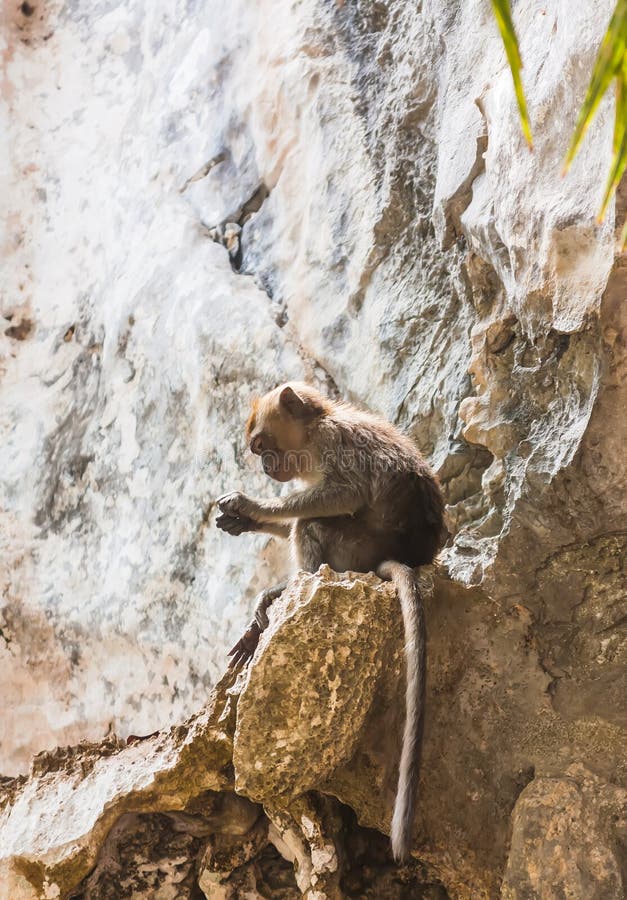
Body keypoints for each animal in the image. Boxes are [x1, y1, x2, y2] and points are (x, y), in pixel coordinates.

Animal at [216, 382, 445, 863]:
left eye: (261, 446)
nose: (265, 466)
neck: (315, 428)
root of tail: (392, 558)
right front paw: (246, 520)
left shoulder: (335, 444)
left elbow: (345, 494)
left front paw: (249, 504)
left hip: (354, 549)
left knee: (311, 522)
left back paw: (288, 589)